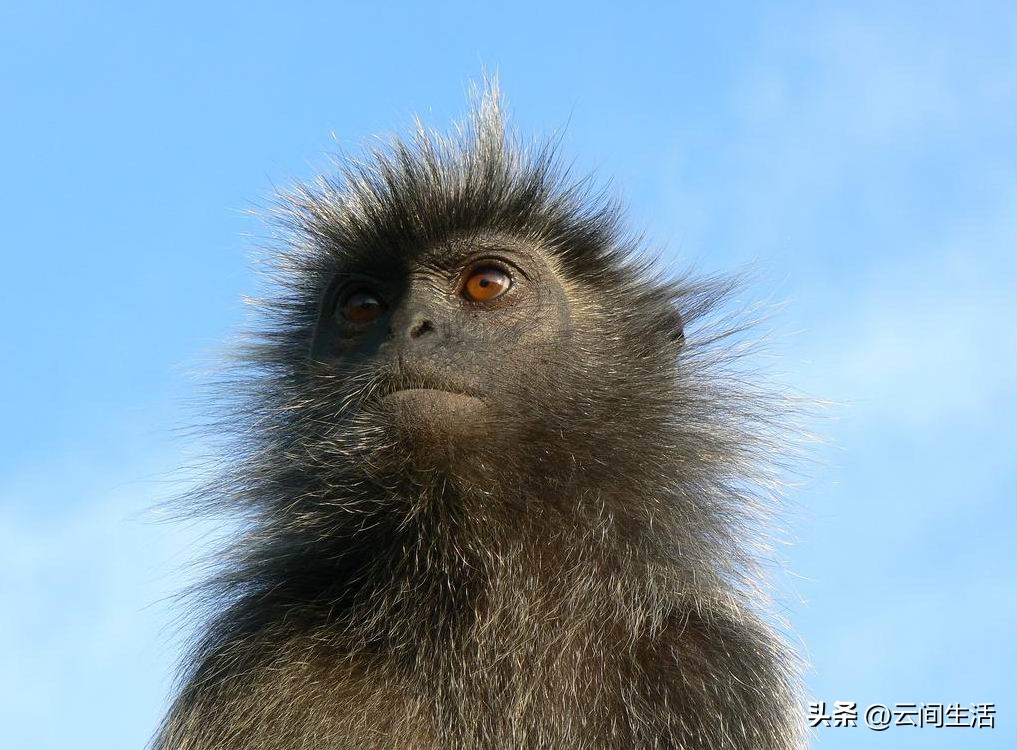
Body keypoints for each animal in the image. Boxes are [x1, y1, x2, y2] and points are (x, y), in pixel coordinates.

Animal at [152, 87, 807, 750]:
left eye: (486, 284)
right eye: (362, 306)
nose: (410, 328)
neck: (482, 598)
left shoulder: (712, 664)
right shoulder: (258, 655)